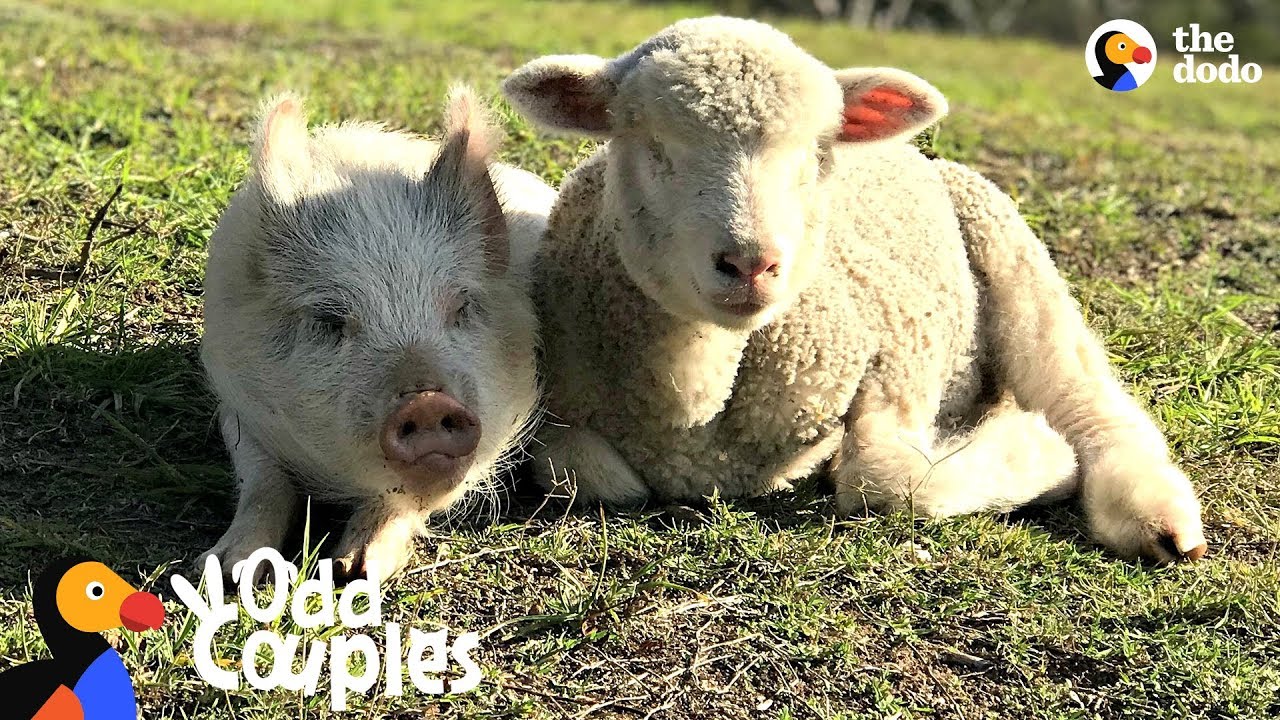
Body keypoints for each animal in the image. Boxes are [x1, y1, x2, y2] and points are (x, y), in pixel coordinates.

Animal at [199, 87, 554, 580]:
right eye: (329, 319)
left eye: (461, 307)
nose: (427, 403)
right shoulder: (237, 402)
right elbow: (262, 482)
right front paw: (225, 570)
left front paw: (354, 569)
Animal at [502, 16, 1207, 563]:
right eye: (651, 145)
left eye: (818, 153)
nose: (752, 263)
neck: (702, 403)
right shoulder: (563, 406)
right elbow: (585, 476)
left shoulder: (899, 345)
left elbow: (885, 482)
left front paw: (1035, 451)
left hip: (1008, 246)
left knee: (1087, 398)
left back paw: (1155, 517)